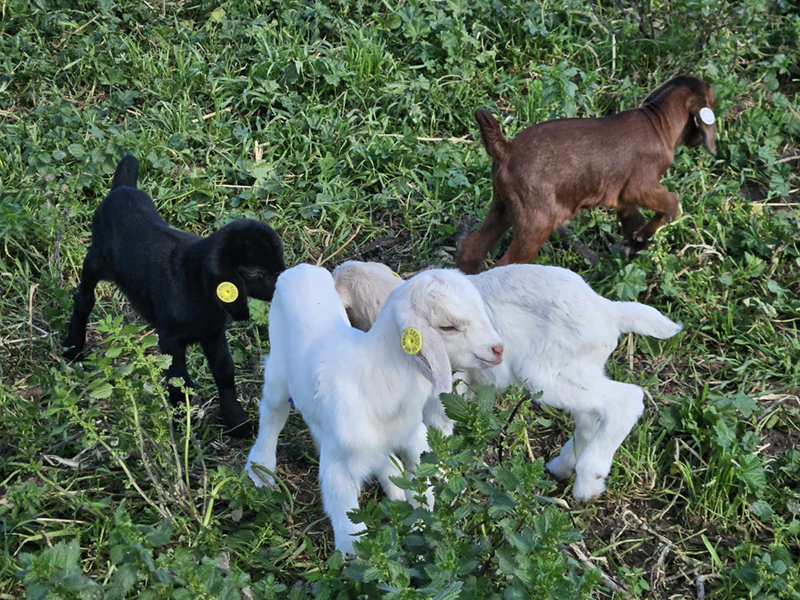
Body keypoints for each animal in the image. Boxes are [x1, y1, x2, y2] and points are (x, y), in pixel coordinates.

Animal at [63, 154, 285, 437]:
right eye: (256, 273)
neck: (194, 280)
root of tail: (121, 189)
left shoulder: (212, 332)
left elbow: (224, 371)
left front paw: (236, 421)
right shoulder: (170, 339)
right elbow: (179, 379)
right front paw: (181, 426)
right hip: (95, 258)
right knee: (83, 299)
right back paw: (73, 347)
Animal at [244, 263, 503, 554]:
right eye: (448, 326)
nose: (498, 349)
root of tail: (300, 269)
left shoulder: (414, 439)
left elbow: (422, 494)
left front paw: (420, 534)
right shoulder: (338, 467)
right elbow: (351, 533)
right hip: (278, 373)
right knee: (272, 414)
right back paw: (260, 467)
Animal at [332, 260, 682, 500]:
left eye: (447, 327)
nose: (496, 350)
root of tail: (609, 311)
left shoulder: (439, 403)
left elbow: (435, 444)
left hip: (546, 374)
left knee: (626, 400)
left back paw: (589, 479)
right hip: (579, 369)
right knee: (590, 416)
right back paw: (564, 466)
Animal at [456, 75, 717, 274]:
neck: (658, 121)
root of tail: (506, 149)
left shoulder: (623, 197)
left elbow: (632, 220)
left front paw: (634, 244)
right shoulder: (641, 186)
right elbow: (672, 203)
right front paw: (643, 237)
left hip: (503, 206)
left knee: (471, 248)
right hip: (537, 221)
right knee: (506, 264)